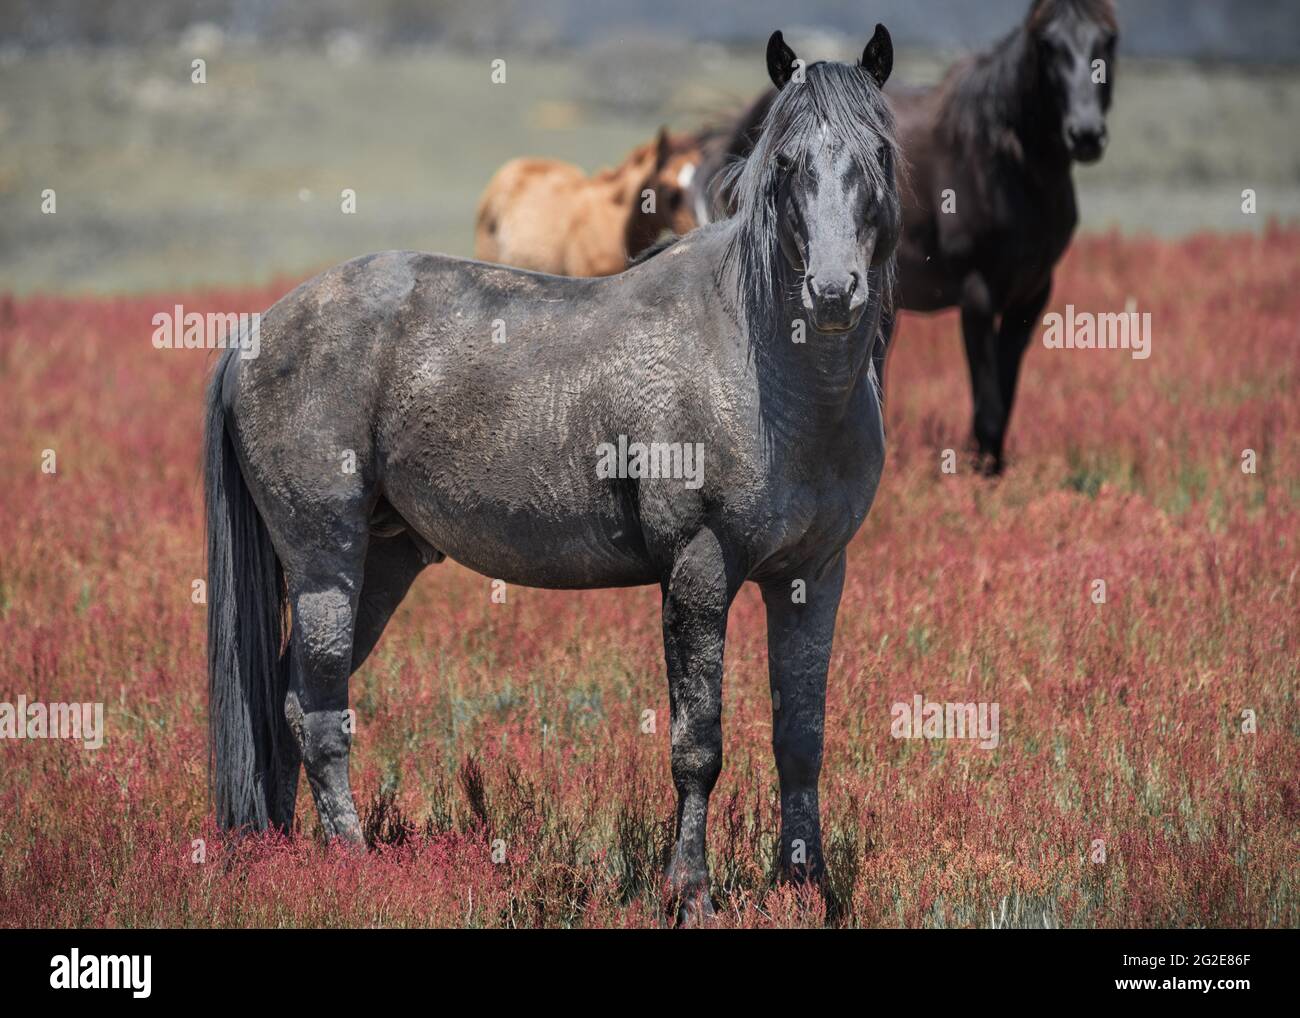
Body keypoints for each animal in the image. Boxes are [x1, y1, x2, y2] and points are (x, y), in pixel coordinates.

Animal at [698, 0, 1119, 473]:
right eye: (1047, 44)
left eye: (1108, 40)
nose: (1086, 135)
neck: (1004, 165)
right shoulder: (977, 294)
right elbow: (989, 406)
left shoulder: (1030, 296)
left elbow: (1004, 399)